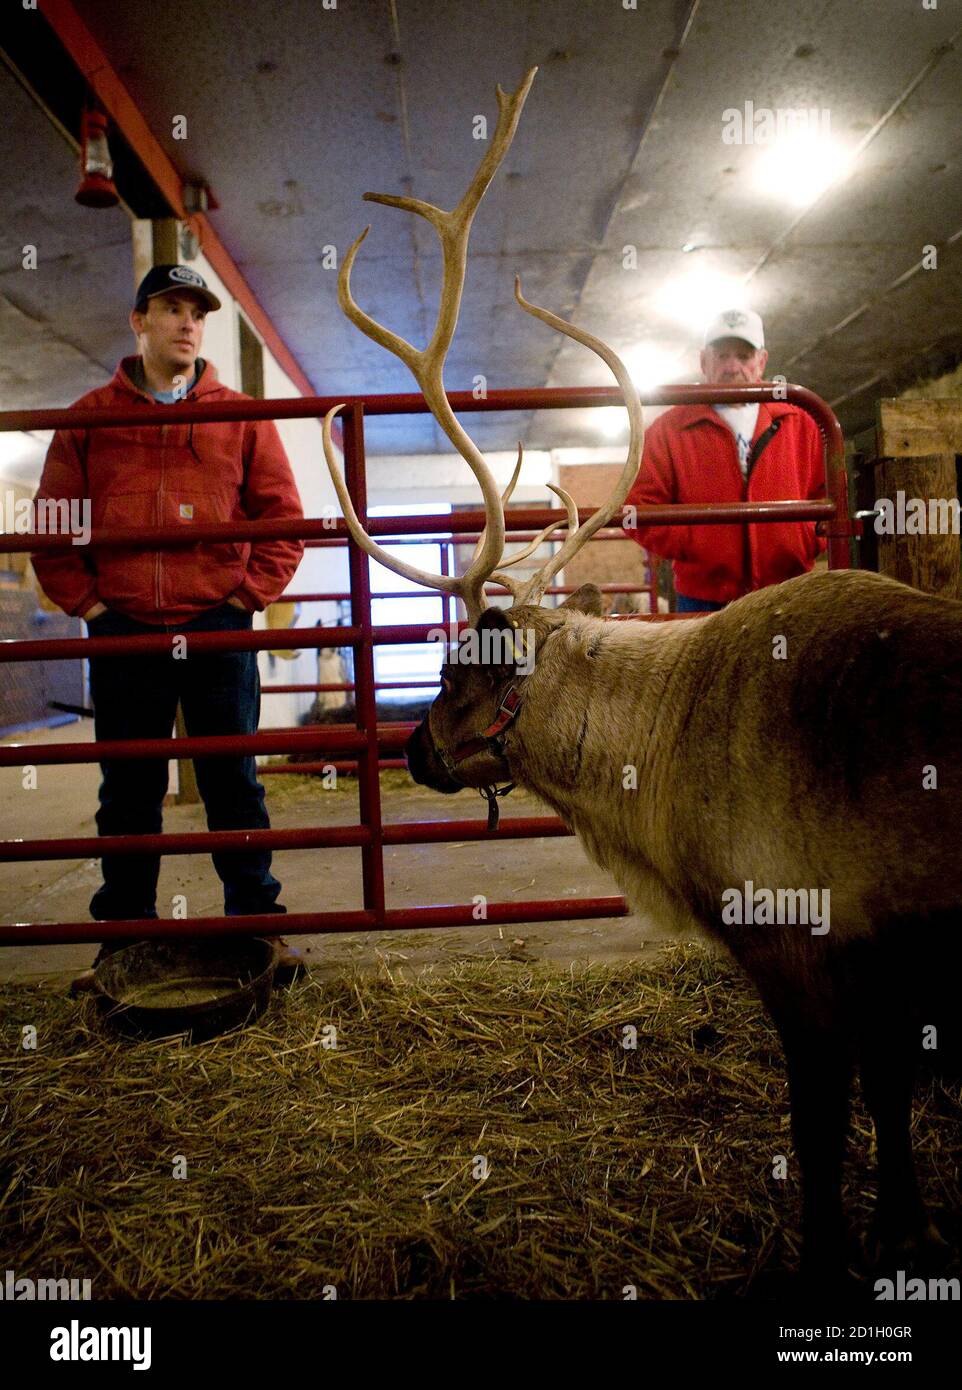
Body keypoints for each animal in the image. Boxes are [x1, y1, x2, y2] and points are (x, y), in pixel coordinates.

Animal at [321, 66, 962, 1288]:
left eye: (460, 663)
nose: (410, 749)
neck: (655, 755)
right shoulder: (885, 970)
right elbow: (893, 1101)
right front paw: (907, 1232)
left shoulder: (801, 949)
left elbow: (822, 1126)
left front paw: (825, 1254)